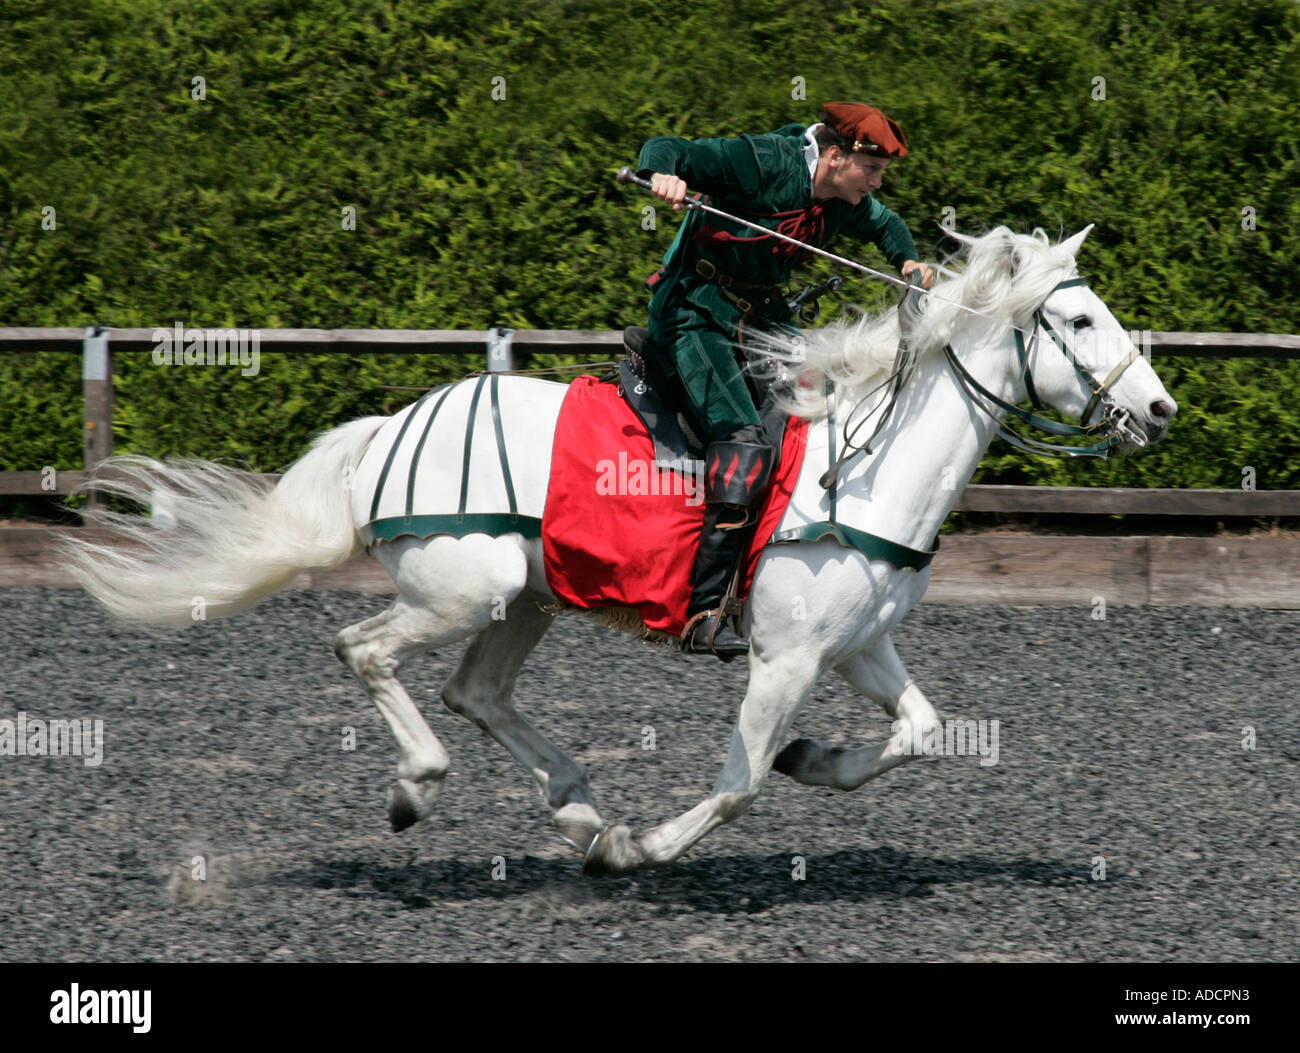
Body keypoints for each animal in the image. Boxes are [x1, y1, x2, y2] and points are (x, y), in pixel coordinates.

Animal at [61, 225, 1177, 875]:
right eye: (1078, 316)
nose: (1160, 409)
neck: (862, 468)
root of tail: (387, 431)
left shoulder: (858, 646)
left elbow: (918, 731)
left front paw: (814, 758)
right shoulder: (783, 659)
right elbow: (739, 784)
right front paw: (640, 849)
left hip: (528, 597)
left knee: (476, 692)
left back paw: (576, 809)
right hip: (465, 589)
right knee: (365, 650)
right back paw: (430, 788)